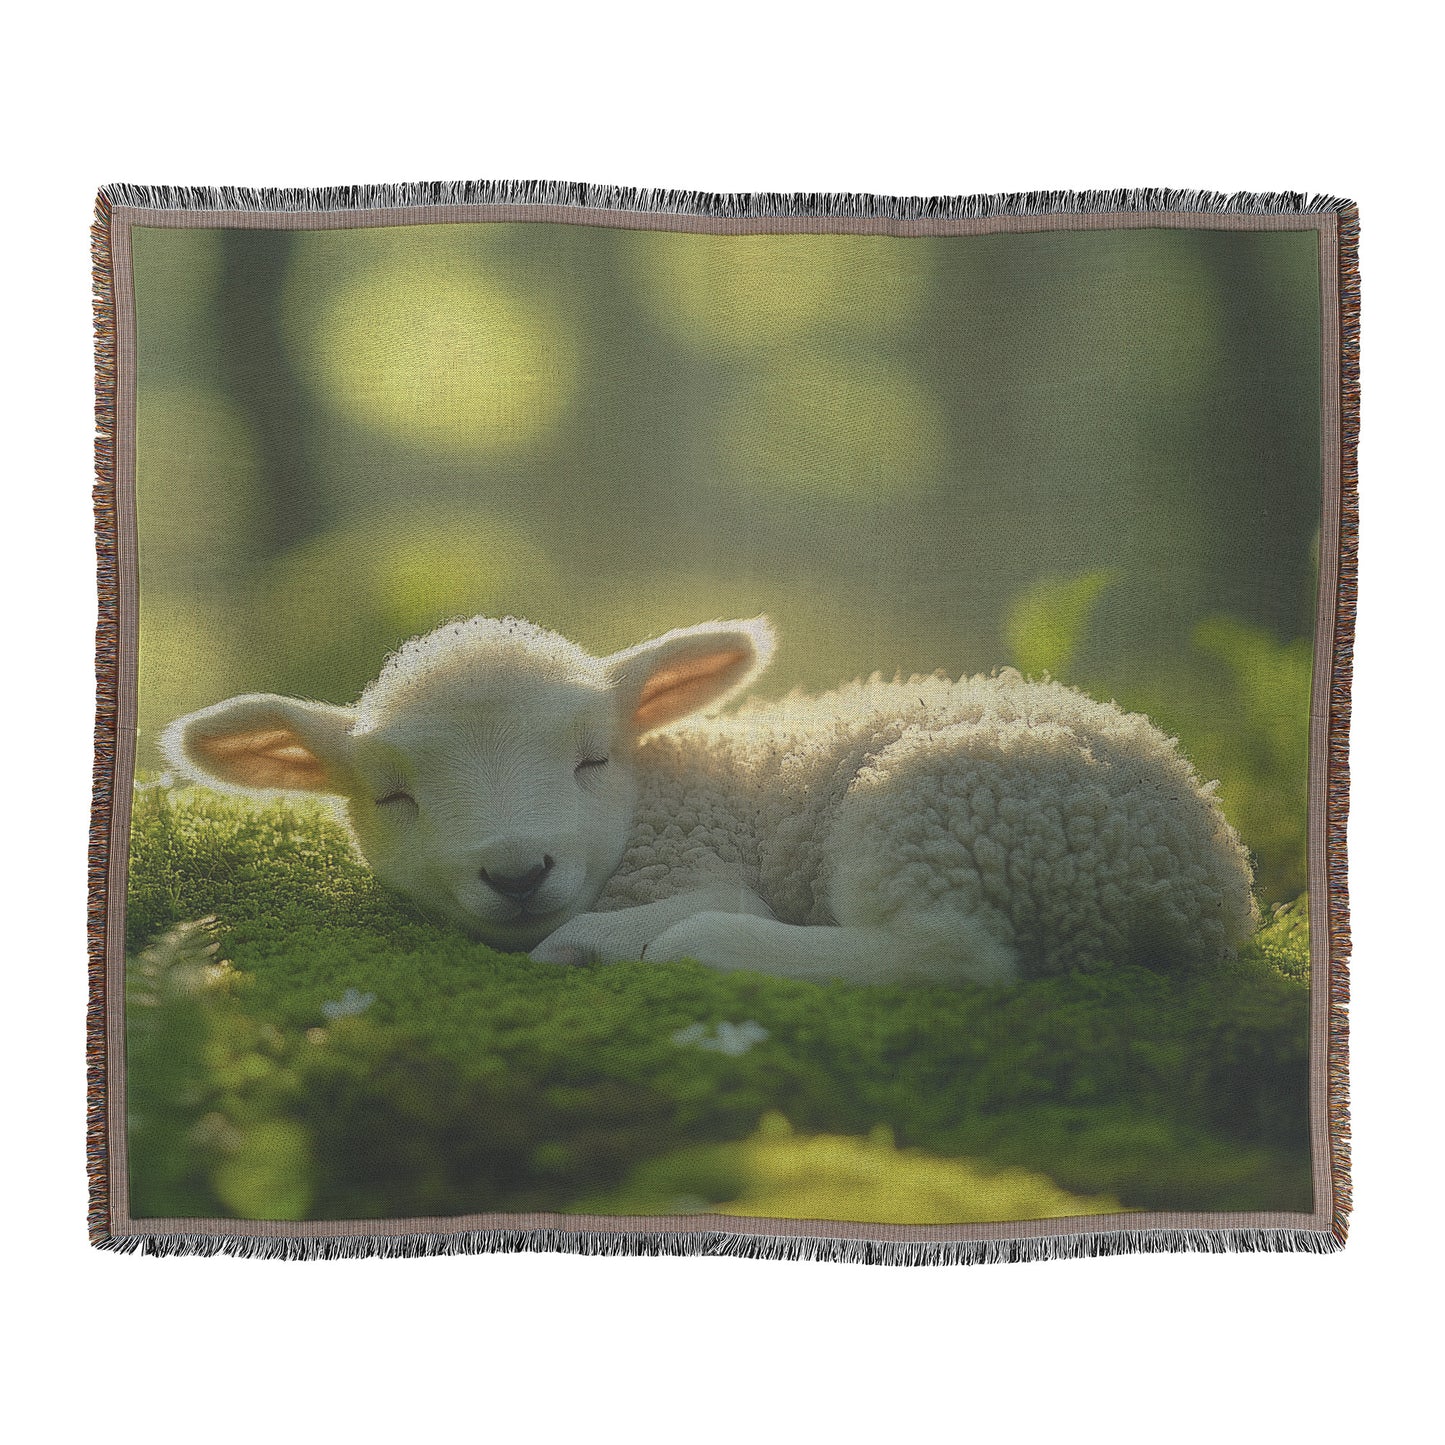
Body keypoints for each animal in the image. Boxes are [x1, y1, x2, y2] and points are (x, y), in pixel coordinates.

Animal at [163, 615, 1258, 984]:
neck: (668, 784)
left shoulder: (704, 864)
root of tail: (1200, 879)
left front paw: (594, 939)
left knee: (954, 953)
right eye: (393, 795)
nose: (518, 871)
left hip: (936, 806)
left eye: (591, 760)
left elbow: (702, 900)